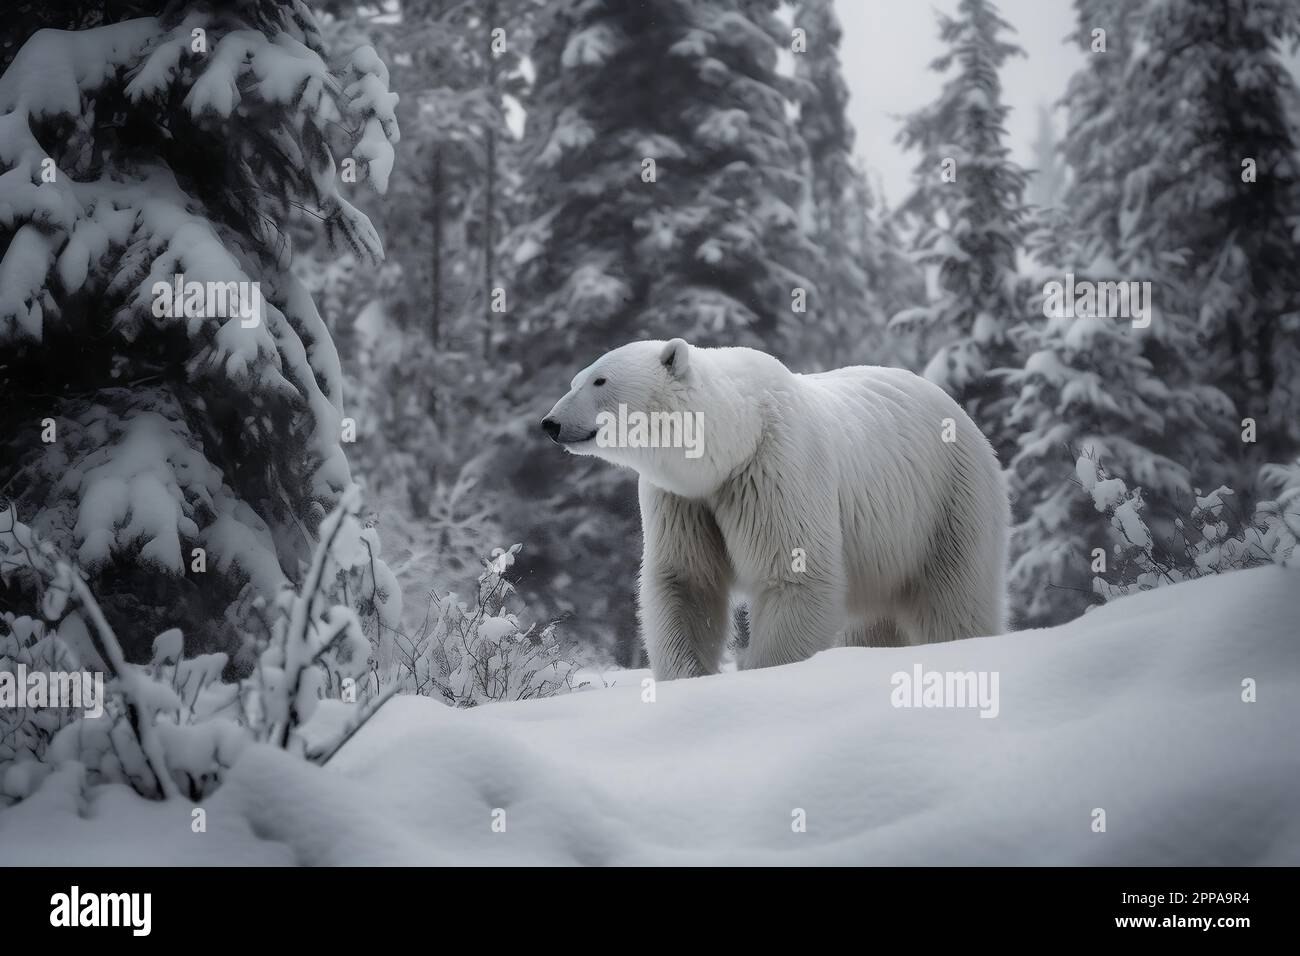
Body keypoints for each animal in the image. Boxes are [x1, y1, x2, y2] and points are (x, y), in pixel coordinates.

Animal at [541, 338, 1009, 679]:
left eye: (600, 380)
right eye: (576, 378)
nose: (550, 423)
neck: (735, 438)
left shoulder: (775, 468)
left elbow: (796, 573)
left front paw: (764, 670)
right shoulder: (683, 498)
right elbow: (687, 580)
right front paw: (688, 676)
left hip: (948, 500)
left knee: (953, 599)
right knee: (875, 620)